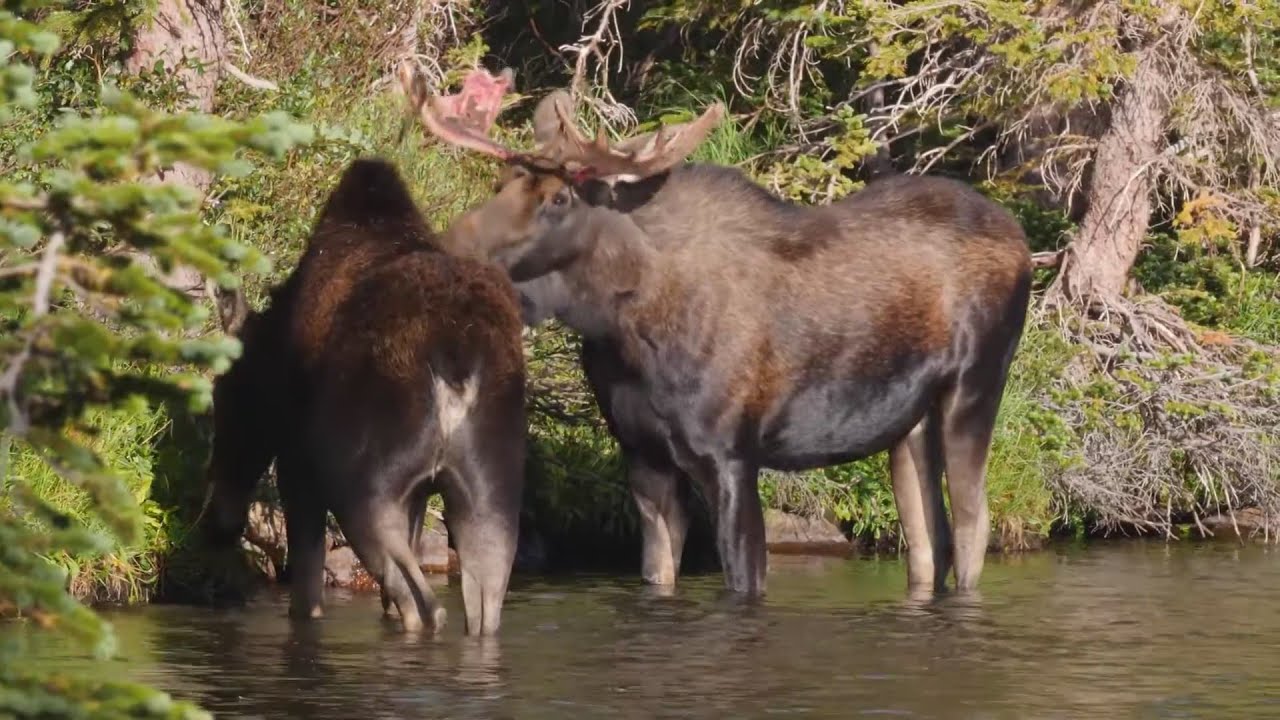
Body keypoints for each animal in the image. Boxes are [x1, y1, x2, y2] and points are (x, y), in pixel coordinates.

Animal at [199, 155, 527, 635]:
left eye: (223, 396)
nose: (216, 524)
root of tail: (458, 361)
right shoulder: (417, 498)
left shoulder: (299, 466)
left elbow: (307, 597)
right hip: (492, 503)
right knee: (482, 609)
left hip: (361, 487)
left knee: (424, 606)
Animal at [399, 64, 1033, 599]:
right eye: (501, 181)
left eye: (558, 198)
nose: (450, 248)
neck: (622, 330)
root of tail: (1021, 239)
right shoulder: (644, 457)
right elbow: (657, 576)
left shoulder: (730, 454)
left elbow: (743, 580)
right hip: (908, 423)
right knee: (929, 542)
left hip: (976, 386)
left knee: (974, 528)